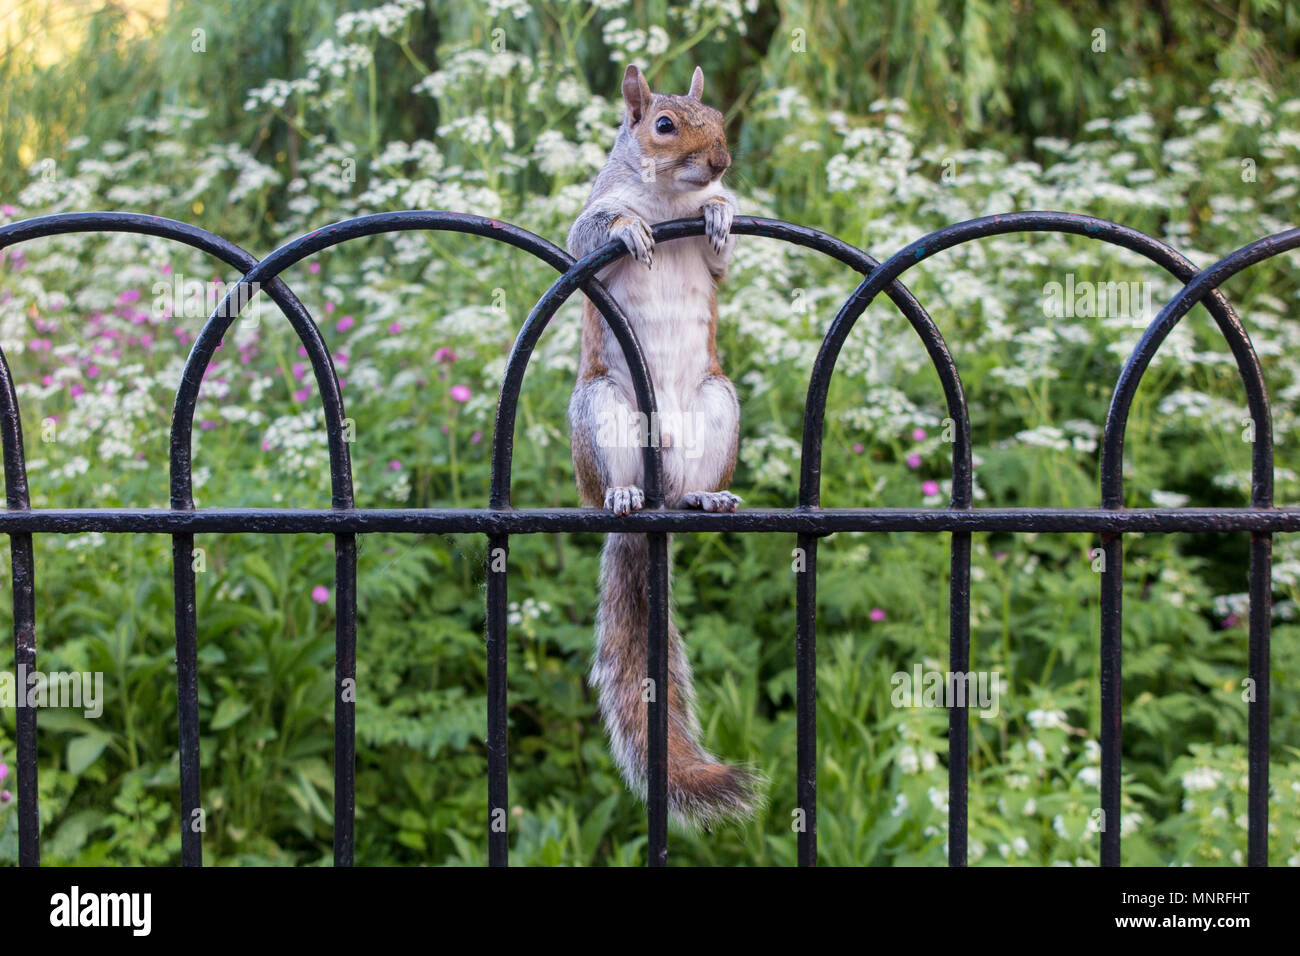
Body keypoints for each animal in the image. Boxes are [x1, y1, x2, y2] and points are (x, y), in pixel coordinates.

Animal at [567, 64, 760, 828]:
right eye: (664, 125)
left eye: (717, 117)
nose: (722, 164)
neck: (668, 194)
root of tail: (657, 496)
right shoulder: (587, 219)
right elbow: (591, 232)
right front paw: (631, 227)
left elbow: (720, 260)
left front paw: (721, 213)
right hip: (598, 413)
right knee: (604, 490)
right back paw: (620, 492)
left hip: (719, 406)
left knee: (692, 486)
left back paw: (707, 496)